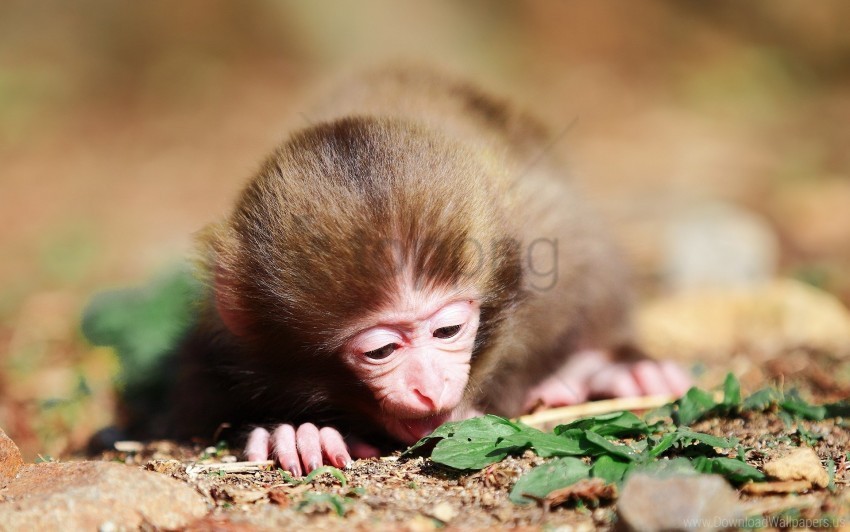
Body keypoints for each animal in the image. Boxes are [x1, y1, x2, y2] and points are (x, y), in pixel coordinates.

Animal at [168, 66, 690, 476]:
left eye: (448, 331)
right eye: (380, 351)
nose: (429, 387)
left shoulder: (549, 241)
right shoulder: (222, 333)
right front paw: (299, 432)